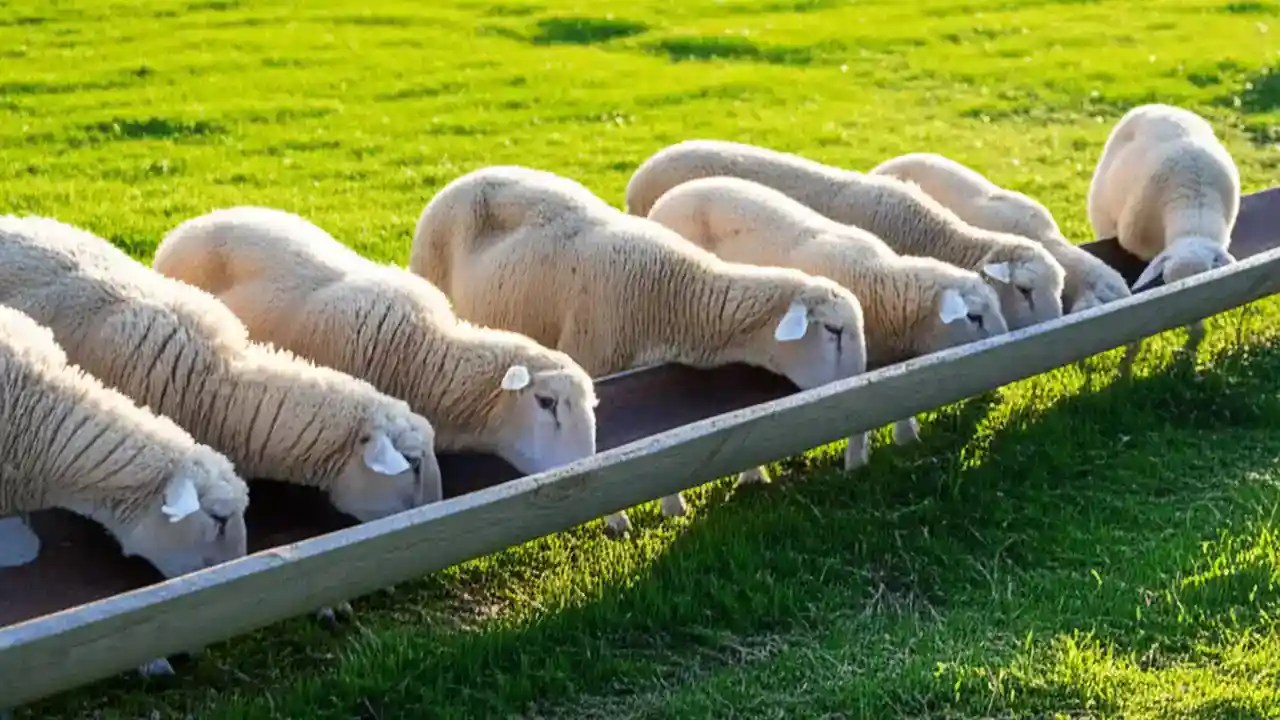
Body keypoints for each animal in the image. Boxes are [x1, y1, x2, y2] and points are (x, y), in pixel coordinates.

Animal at [411, 165, 867, 535]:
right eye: (834, 330)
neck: (675, 292)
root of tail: (468, 176)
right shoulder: (594, 360)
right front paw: (616, 520)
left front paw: (673, 504)